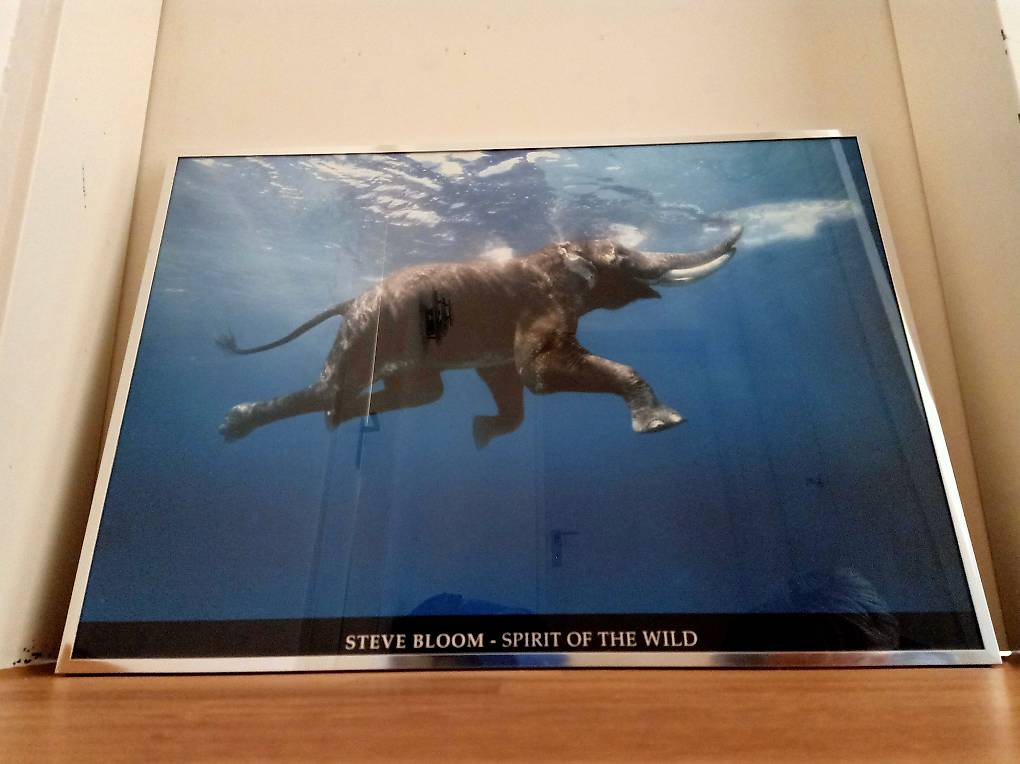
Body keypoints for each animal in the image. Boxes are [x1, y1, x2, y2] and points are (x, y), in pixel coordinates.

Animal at [217, 224, 743, 447]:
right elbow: (537, 375)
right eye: (623, 259)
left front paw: (480, 435)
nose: (737, 234)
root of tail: (348, 301)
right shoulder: (539, 305)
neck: (555, 253)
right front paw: (665, 424)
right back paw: (237, 422)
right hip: (365, 331)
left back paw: (338, 419)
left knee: (421, 393)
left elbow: (510, 380)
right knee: (331, 388)